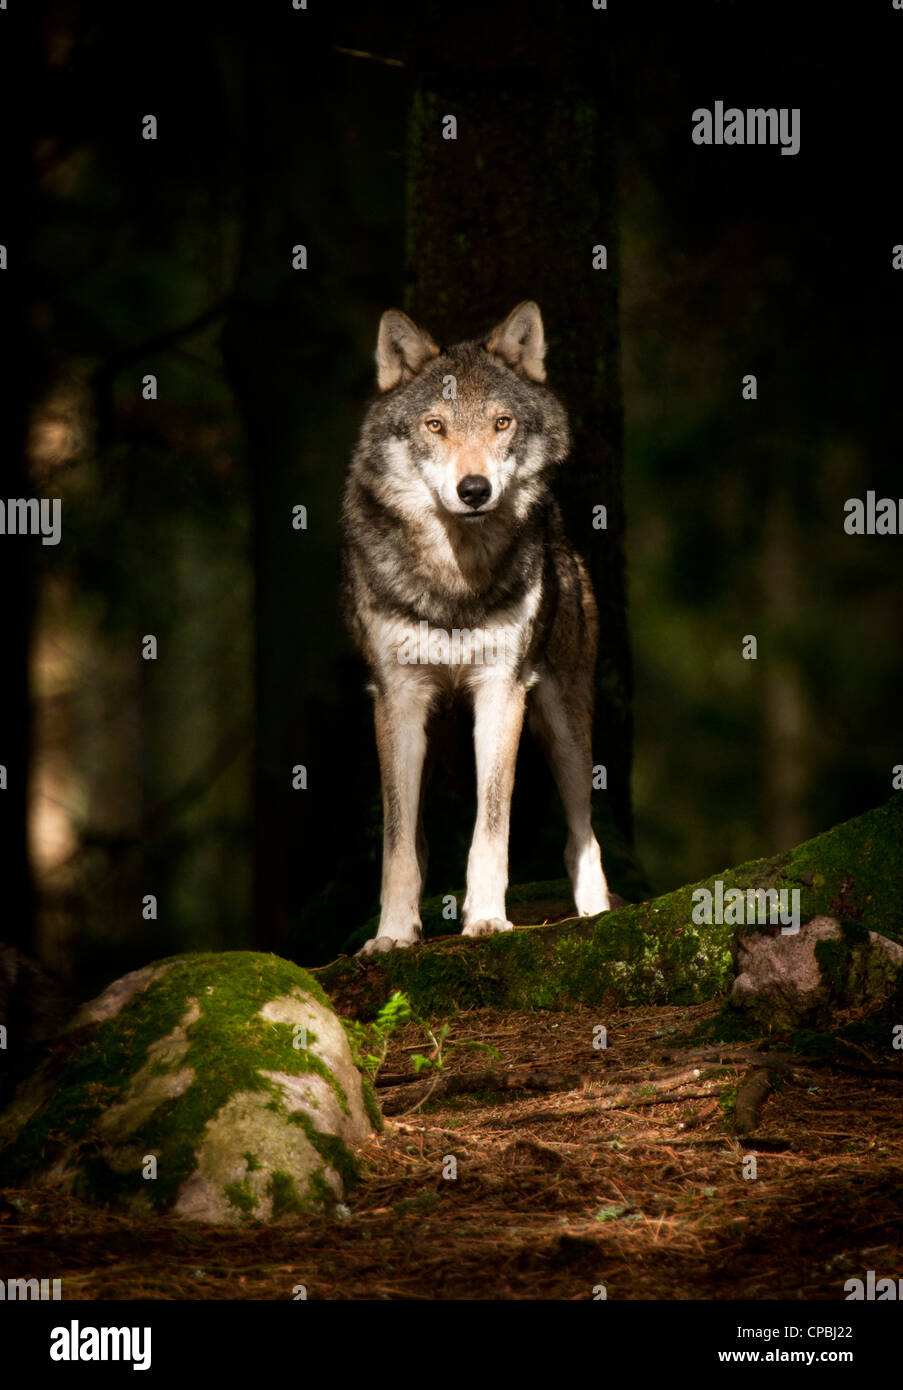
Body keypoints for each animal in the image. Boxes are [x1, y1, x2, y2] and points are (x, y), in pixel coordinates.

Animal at [342, 301, 611, 957]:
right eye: (436, 425)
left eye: (501, 423)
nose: (474, 490)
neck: (455, 581)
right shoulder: (397, 699)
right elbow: (396, 845)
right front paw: (392, 935)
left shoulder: (501, 690)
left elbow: (491, 827)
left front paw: (486, 918)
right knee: (416, 837)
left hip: (564, 722)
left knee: (582, 834)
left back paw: (596, 916)